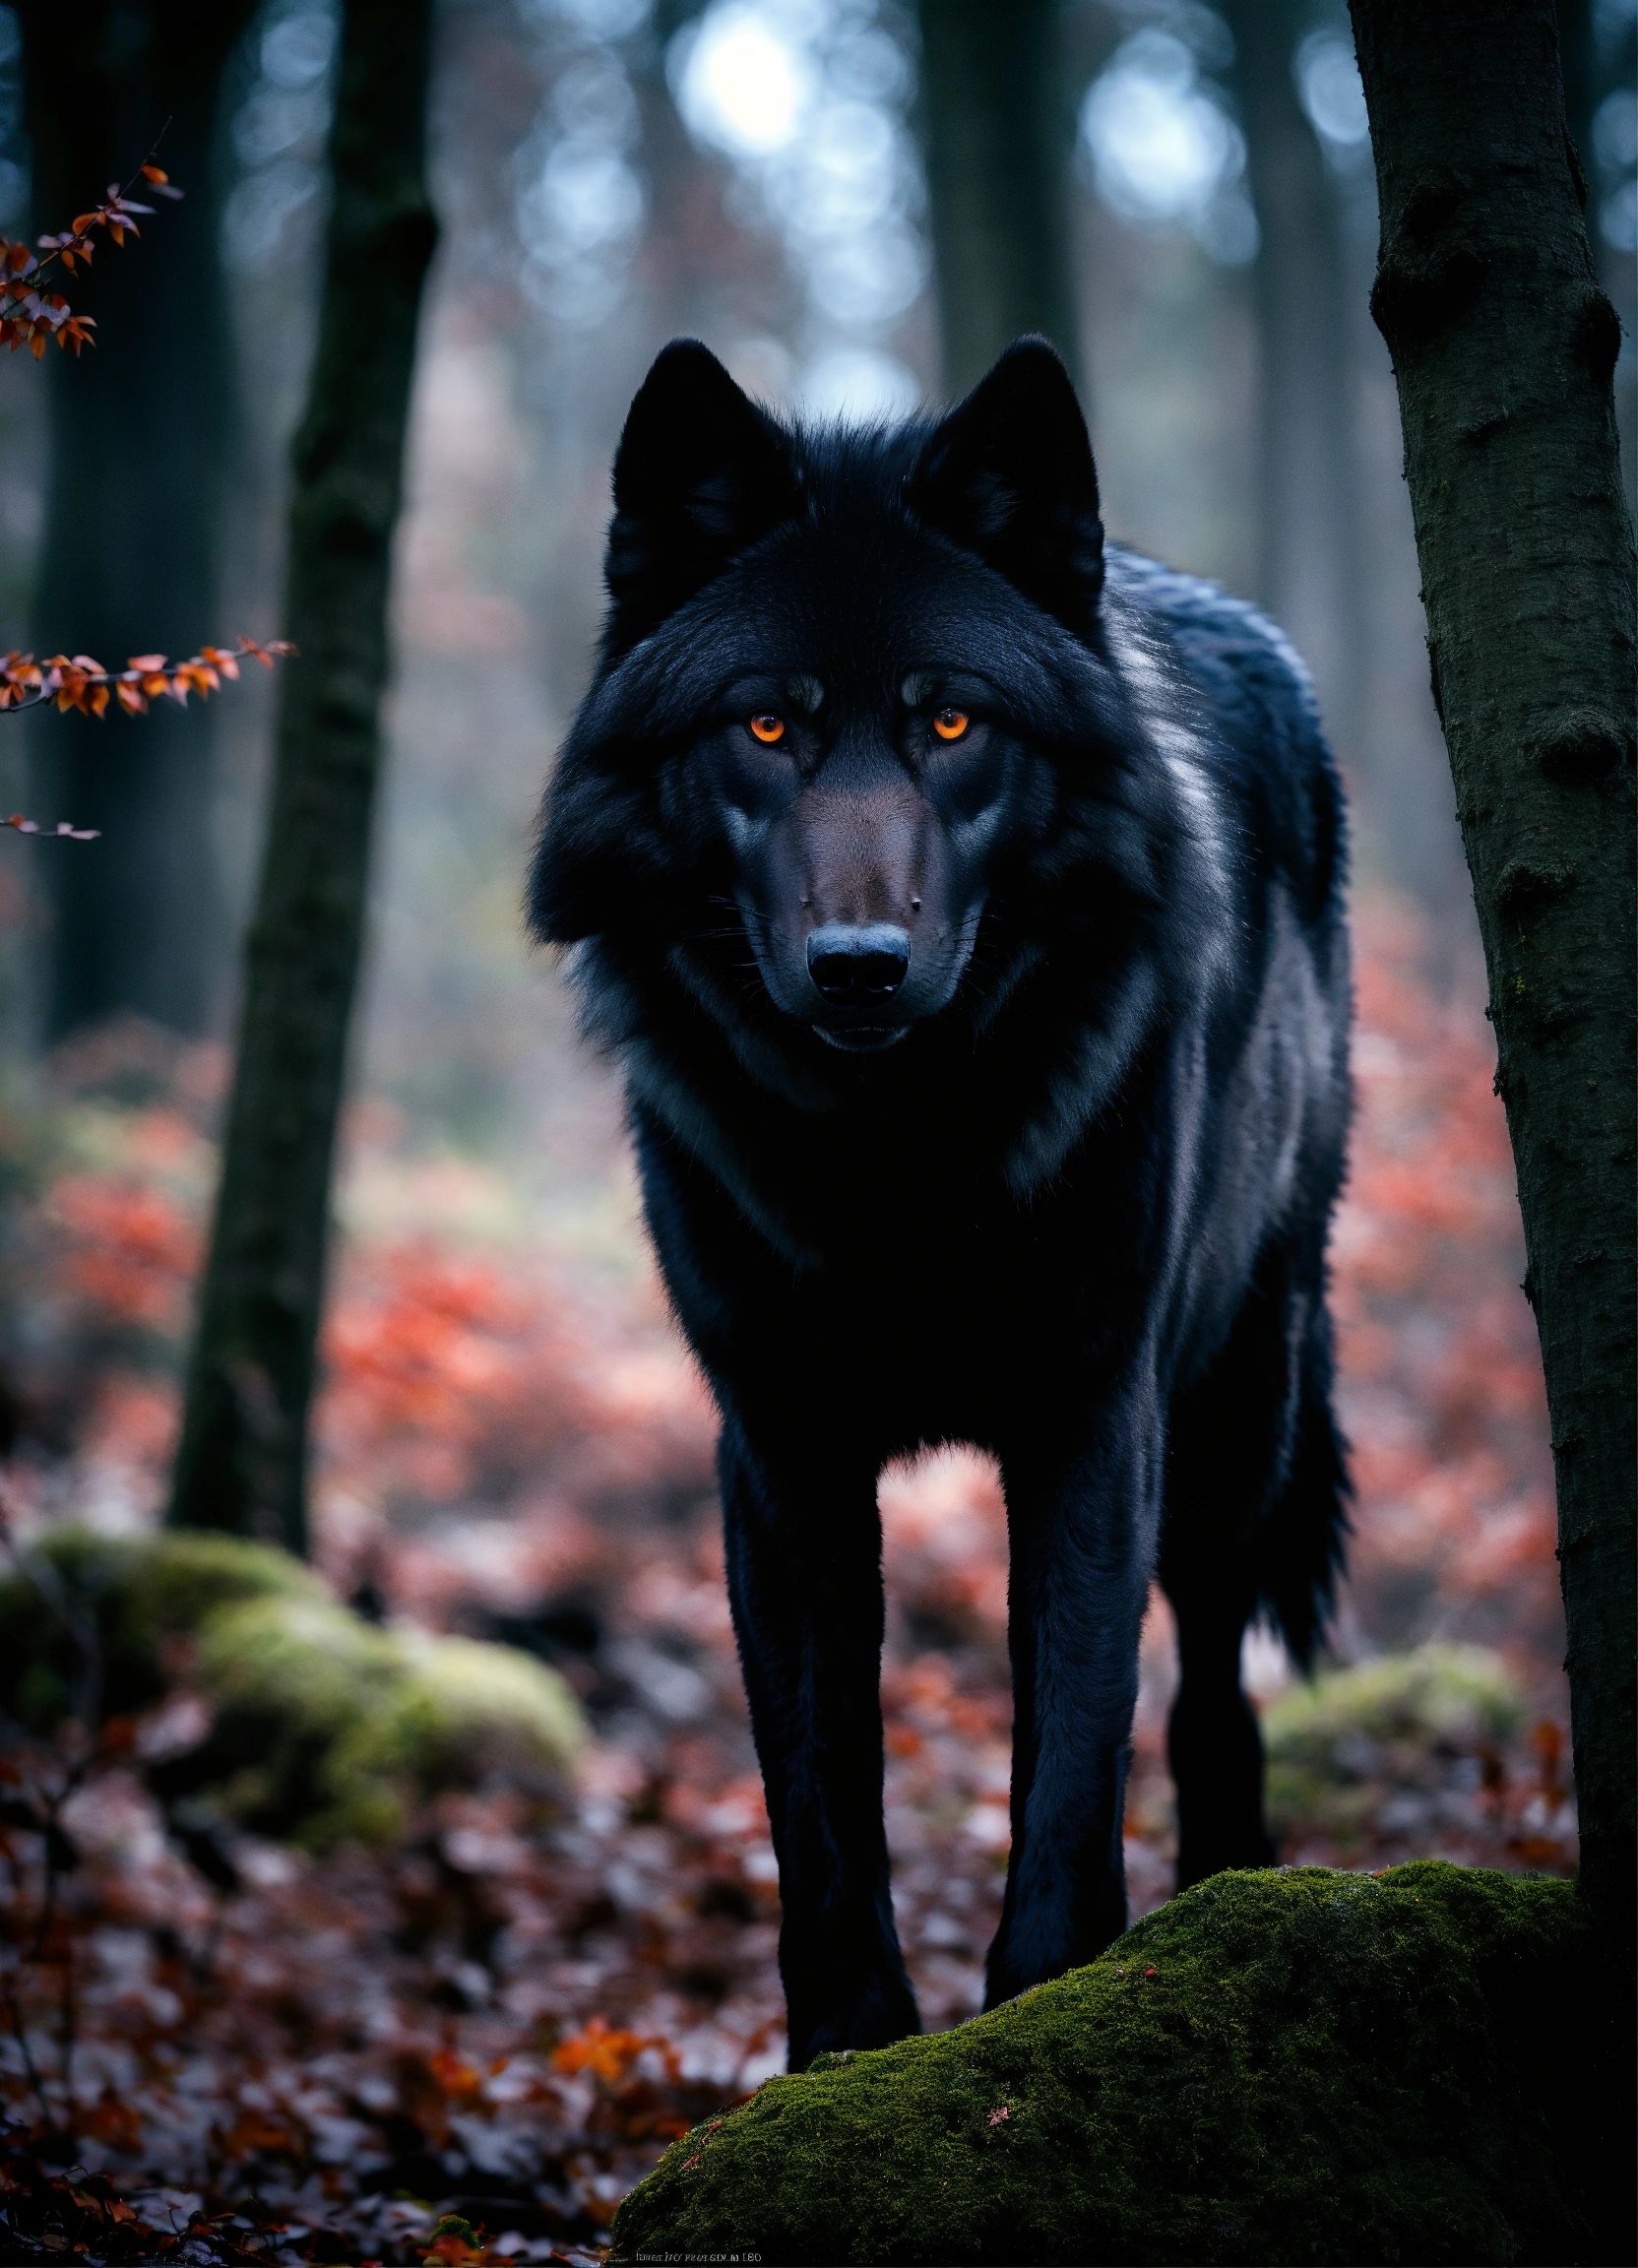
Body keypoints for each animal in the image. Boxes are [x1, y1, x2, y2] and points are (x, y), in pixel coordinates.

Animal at [531, 336, 1350, 2072]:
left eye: (953, 721)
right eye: (769, 727)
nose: (860, 967)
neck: (891, 1157)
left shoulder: (1093, 1423)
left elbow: (1072, 1768)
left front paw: (1037, 2024)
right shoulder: (781, 1450)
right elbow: (819, 1801)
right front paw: (844, 2058)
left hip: (1238, 1413)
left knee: (1213, 1699)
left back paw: (1227, 1905)